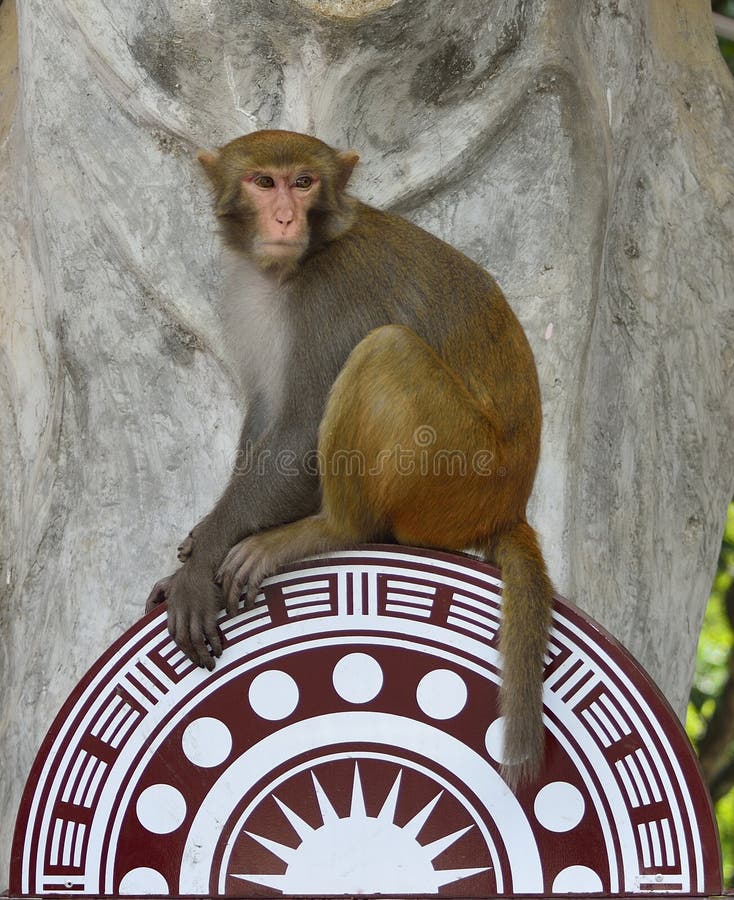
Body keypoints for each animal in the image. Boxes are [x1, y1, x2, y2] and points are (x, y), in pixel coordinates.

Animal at [145, 129, 553, 786]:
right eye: (264, 182)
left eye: (303, 182)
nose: (285, 217)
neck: (295, 265)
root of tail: (508, 507)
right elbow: (269, 412)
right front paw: (197, 544)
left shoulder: (335, 291)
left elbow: (301, 425)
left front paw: (202, 557)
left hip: (460, 473)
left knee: (386, 350)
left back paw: (331, 529)